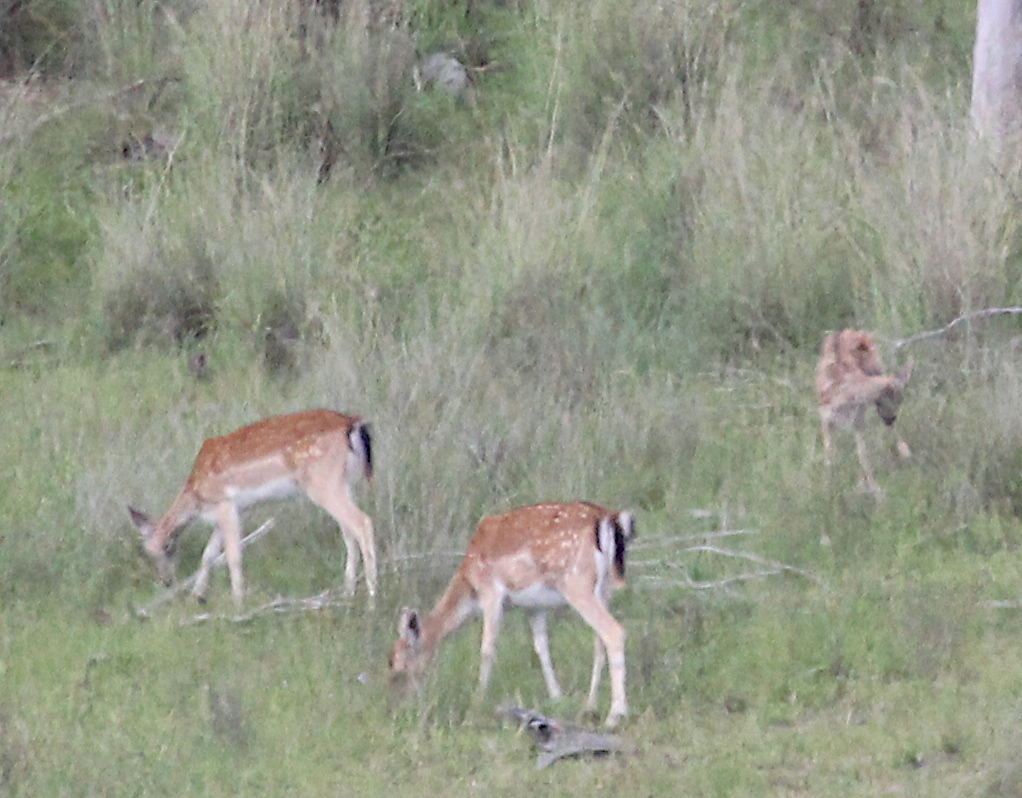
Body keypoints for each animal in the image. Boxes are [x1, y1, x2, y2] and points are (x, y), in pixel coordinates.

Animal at [128, 409, 376, 606]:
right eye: (148, 552)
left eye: (169, 546)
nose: (167, 580)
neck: (197, 497)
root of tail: (352, 423)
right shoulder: (229, 512)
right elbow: (208, 554)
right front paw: (197, 596)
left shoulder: (226, 503)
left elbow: (233, 554)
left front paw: (238, 602)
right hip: (343, 482)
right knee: (348, 531)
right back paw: (348, 593)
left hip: (321, 482)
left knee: (362, 522)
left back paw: (373, 596)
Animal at [388, 502, 636, 728]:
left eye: (399, 665)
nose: (401, 704)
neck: (469, 586)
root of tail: (607, 518)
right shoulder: (534, 607)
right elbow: (542, 648)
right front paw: (557, 697)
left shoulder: (491, 592)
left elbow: (487, 649)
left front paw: (478, 700)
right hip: (605, 587)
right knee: (599, 641)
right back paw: (590, 705)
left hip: (575, 582)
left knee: (614, 631)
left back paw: (615, 715)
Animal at [815, 329, 912, 494]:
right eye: (897, 398)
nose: (891, 418)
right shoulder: (826, 417)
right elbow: (829, 453)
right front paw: (826, 487)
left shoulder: (858, 416)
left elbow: (863, 453)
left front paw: (874, 488)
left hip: (876, 364)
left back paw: (904, 450)